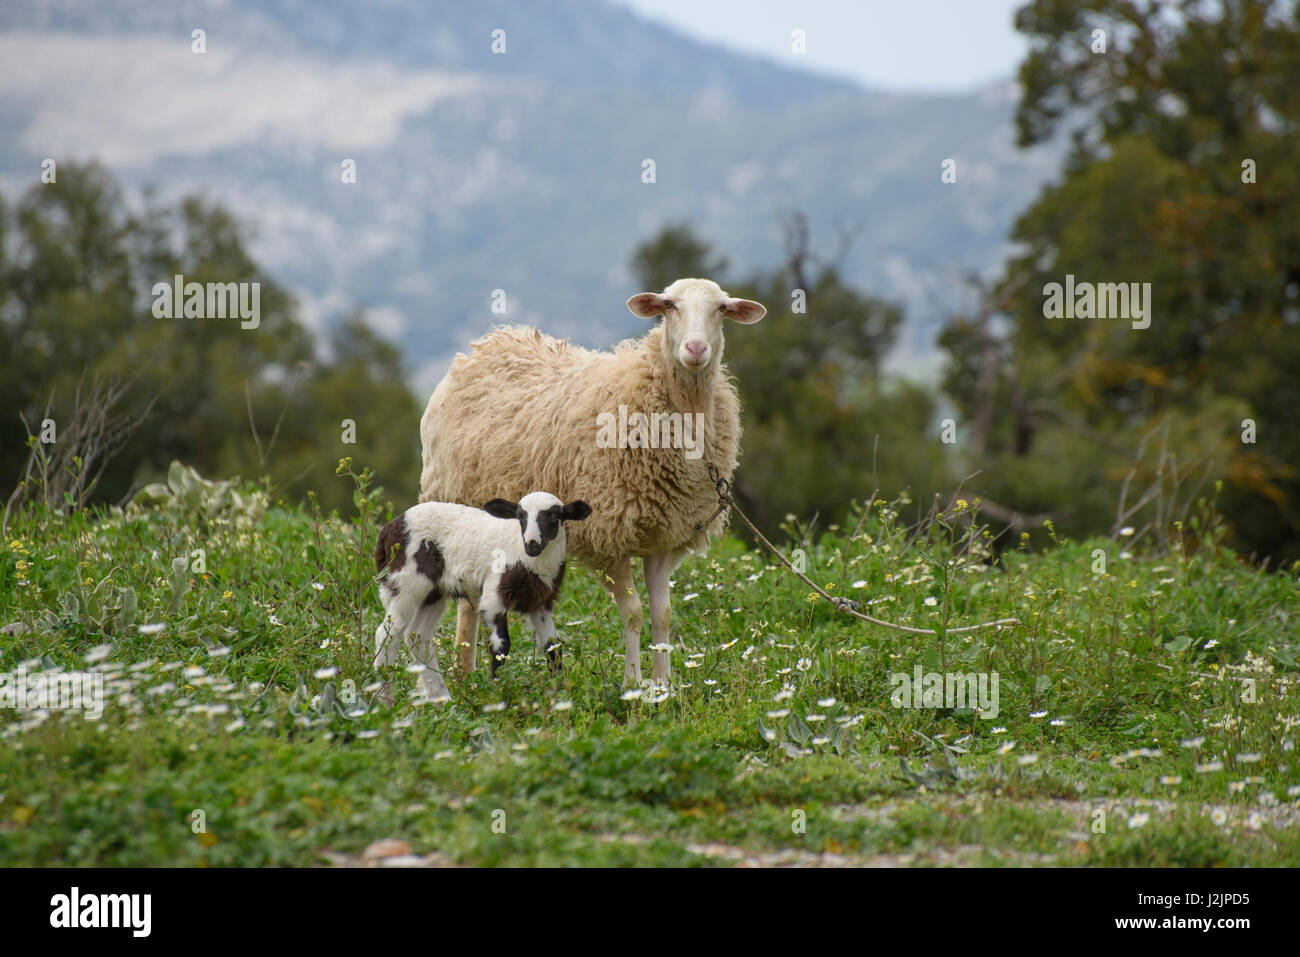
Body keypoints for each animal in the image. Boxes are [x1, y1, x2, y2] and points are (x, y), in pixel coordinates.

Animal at [373, 492, 592, 702]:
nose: (531, 544)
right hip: (407, 582)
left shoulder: (541, 603)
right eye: (520, 516)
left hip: (434, 591)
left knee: (417, 634)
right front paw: (500, 692)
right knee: (387, 634)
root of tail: (388, 529)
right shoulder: (494, 596)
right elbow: (501, 646)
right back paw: (383, 700)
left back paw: (441, 698)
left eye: (555, 516)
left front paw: (561, 691)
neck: (530, 561)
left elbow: (552, 647)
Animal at [419, 277, 766, 688]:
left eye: (722, 308)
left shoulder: (664, 539)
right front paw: (632, 684)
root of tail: (485, 345)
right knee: (468, 601)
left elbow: (662, 614)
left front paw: (664, 684)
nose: (695, 349)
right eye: (669, 305)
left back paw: (467, 673)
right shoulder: (609, 537)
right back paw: (464, 673)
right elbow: (633, 612)